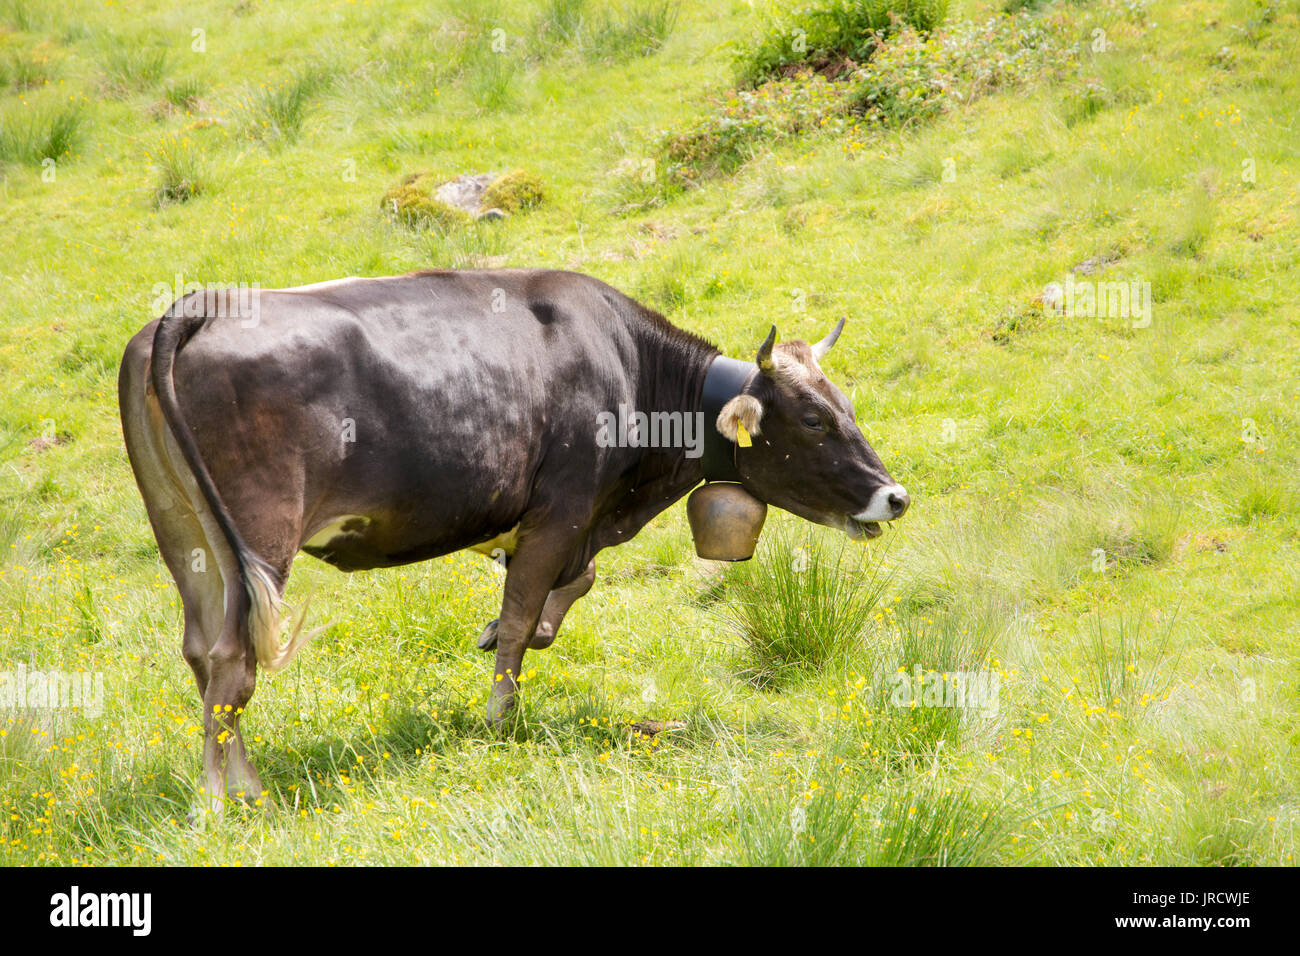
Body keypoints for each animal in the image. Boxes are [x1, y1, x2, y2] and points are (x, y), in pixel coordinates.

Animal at [118, 269, 909, 810]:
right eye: (813, 419)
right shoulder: (564, 505)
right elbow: (525, 606)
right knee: (233, 658)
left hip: (185, 531)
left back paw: (237, 786)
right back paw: (229, 799)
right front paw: (500, 717)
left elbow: (564, 589)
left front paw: (507, 636)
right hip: (261, 529)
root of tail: (201, 306)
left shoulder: (569, 520)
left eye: (845, 404)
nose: (895, 496)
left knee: (203, 651)